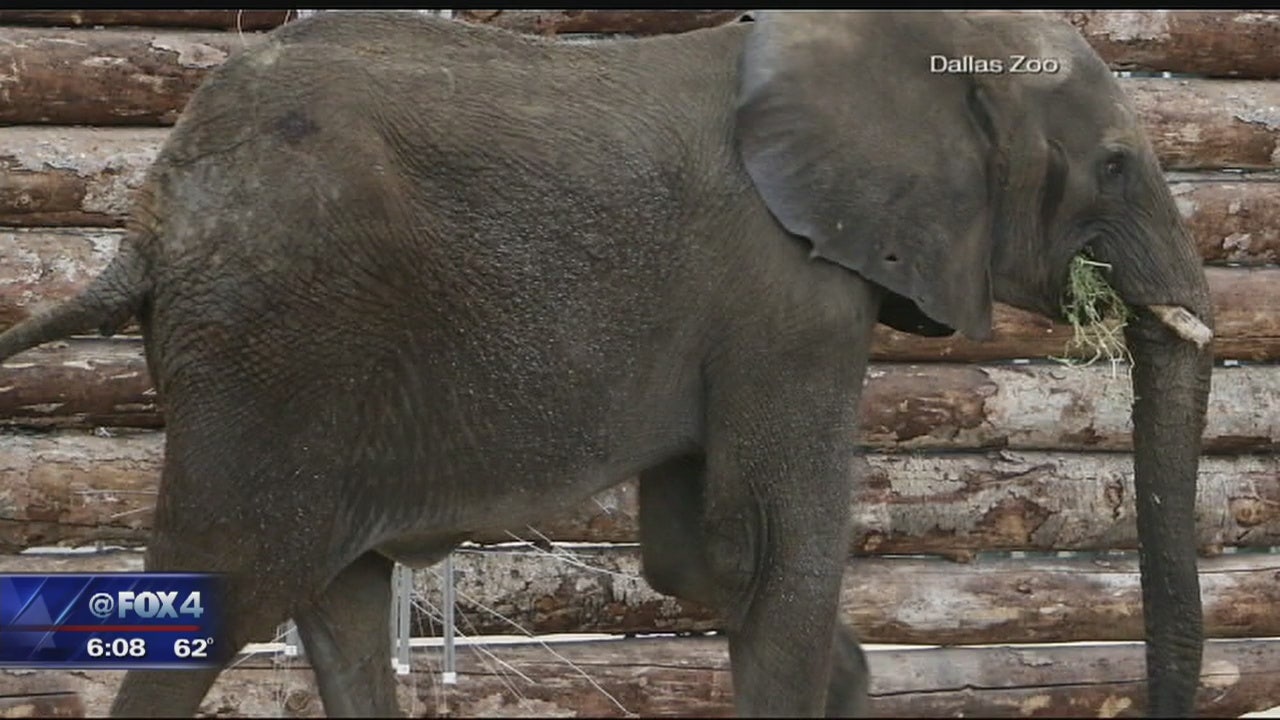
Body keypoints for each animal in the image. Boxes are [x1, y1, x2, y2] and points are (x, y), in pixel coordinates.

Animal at [0, 10, 1214, 718]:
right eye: (1113, 165)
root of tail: (152, 215)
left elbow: (698, 557)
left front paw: (849, 679)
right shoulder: (789, 298)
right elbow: (772, 552)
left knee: (340, 607)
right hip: (270, 349)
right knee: (219, 596)